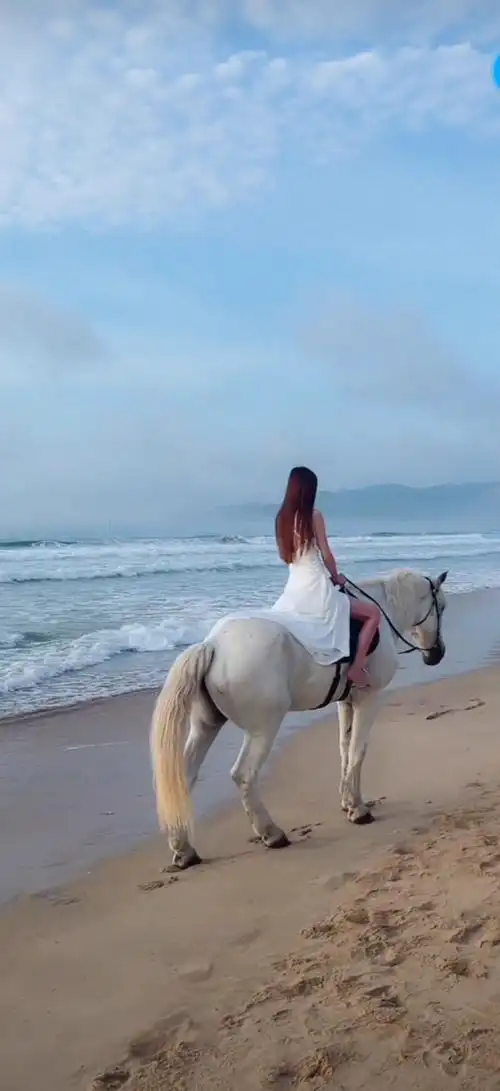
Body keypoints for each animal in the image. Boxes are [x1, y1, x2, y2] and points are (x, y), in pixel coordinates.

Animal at [150, 568, 448, 871]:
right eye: (442, 607)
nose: (437, 654)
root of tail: (213, 645)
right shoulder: (369, 699)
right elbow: (357, 751)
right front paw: (358, 810)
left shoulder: (346, 702)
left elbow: (344, 749)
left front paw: (348, 800)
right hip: (262, 729)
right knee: (244, 775)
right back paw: (271, 834)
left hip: (206, 725)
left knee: (184, 777)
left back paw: (184, 850)